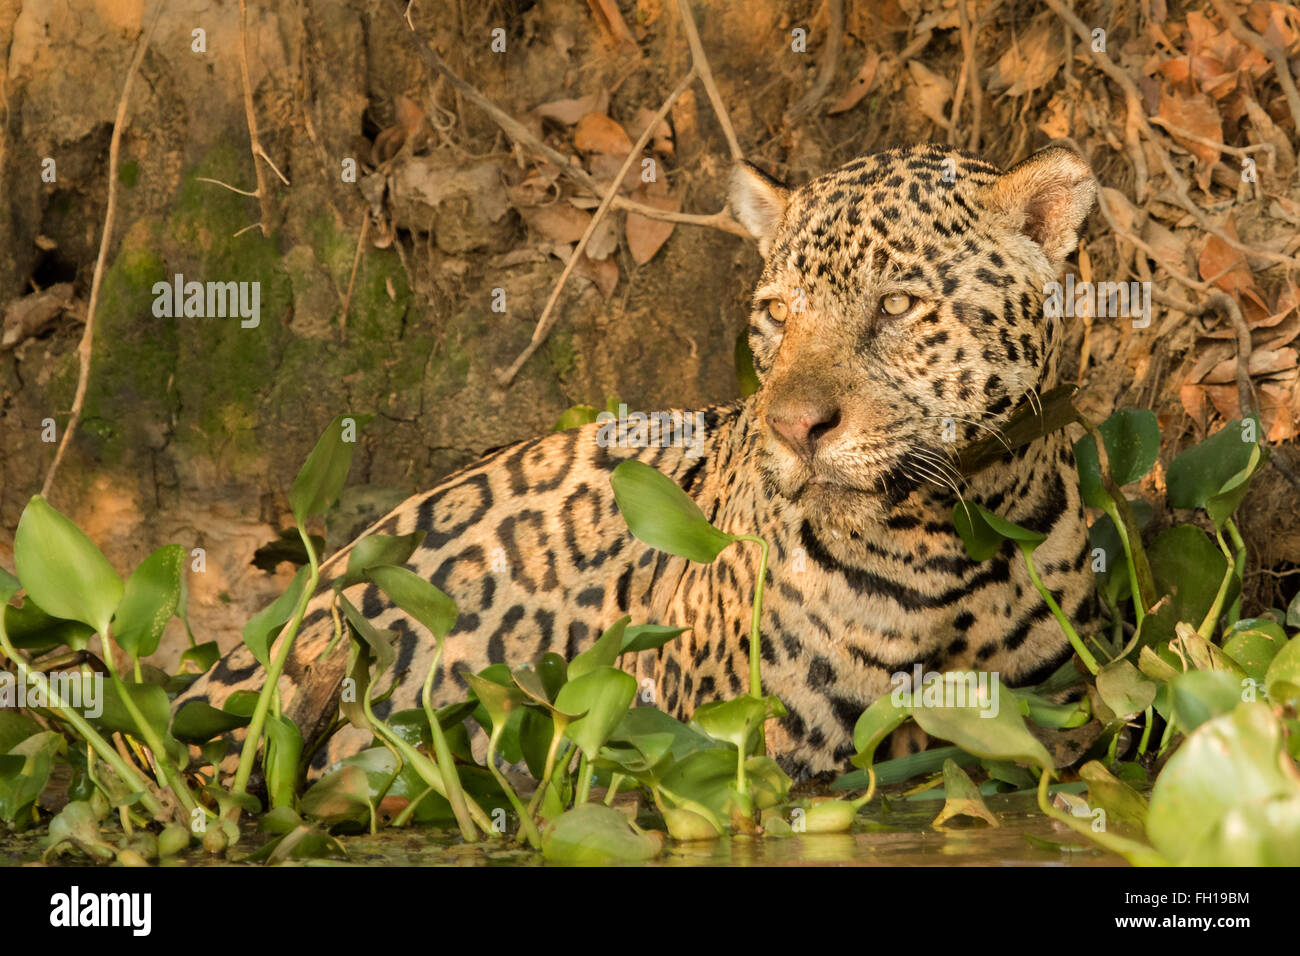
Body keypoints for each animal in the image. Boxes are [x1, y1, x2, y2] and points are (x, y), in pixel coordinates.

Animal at [179, 142, 1100, 781]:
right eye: (777, 313)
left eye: (899, 305)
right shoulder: (738, 747)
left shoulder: (1061, 715)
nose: (795, 428)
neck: (956, 536)